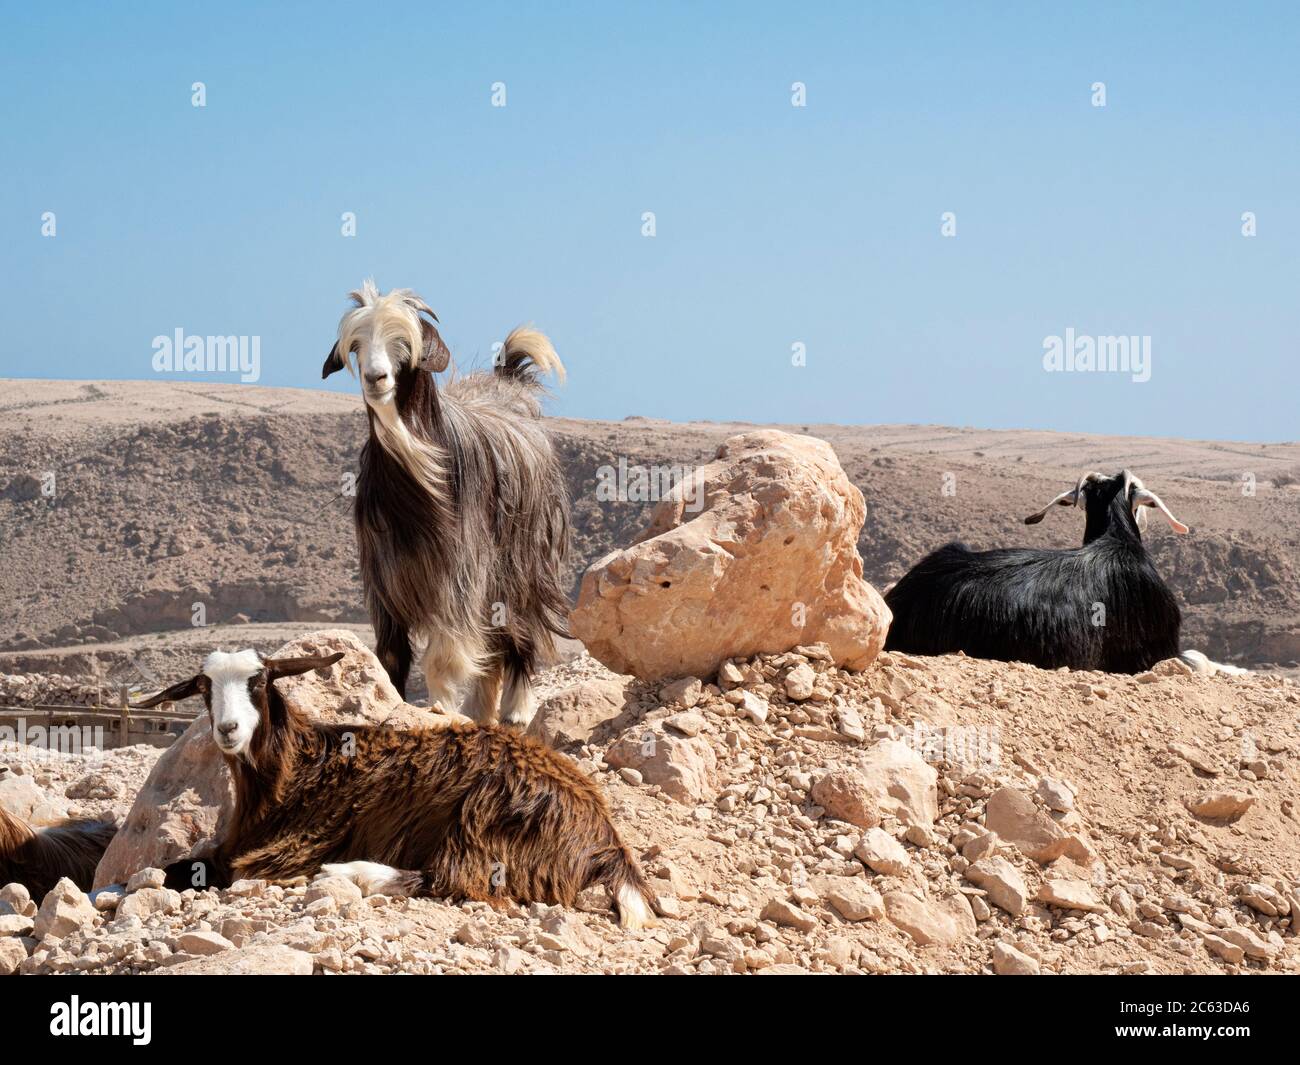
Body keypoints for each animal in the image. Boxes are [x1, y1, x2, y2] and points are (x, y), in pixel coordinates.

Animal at [131, 650, 657, 929]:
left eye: (259, 681)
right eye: (204, 688)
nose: (228, 729)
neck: (296, 770)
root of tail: (605, 839)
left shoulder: (287, 848)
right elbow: (179, 866)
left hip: (484, 818)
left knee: (453, 879)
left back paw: (354, 873)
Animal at [321, 281, 569, 729]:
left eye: (406, 344)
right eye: (356, 346)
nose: (375, 378)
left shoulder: (458, 574)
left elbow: (444, 653)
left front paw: (440, 707)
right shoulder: (385, 576)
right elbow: (391, 654)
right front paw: (392, 702)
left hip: (524, 564)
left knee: (520, 632)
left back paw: (515, 711)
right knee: (493, 645)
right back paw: (481, 709)